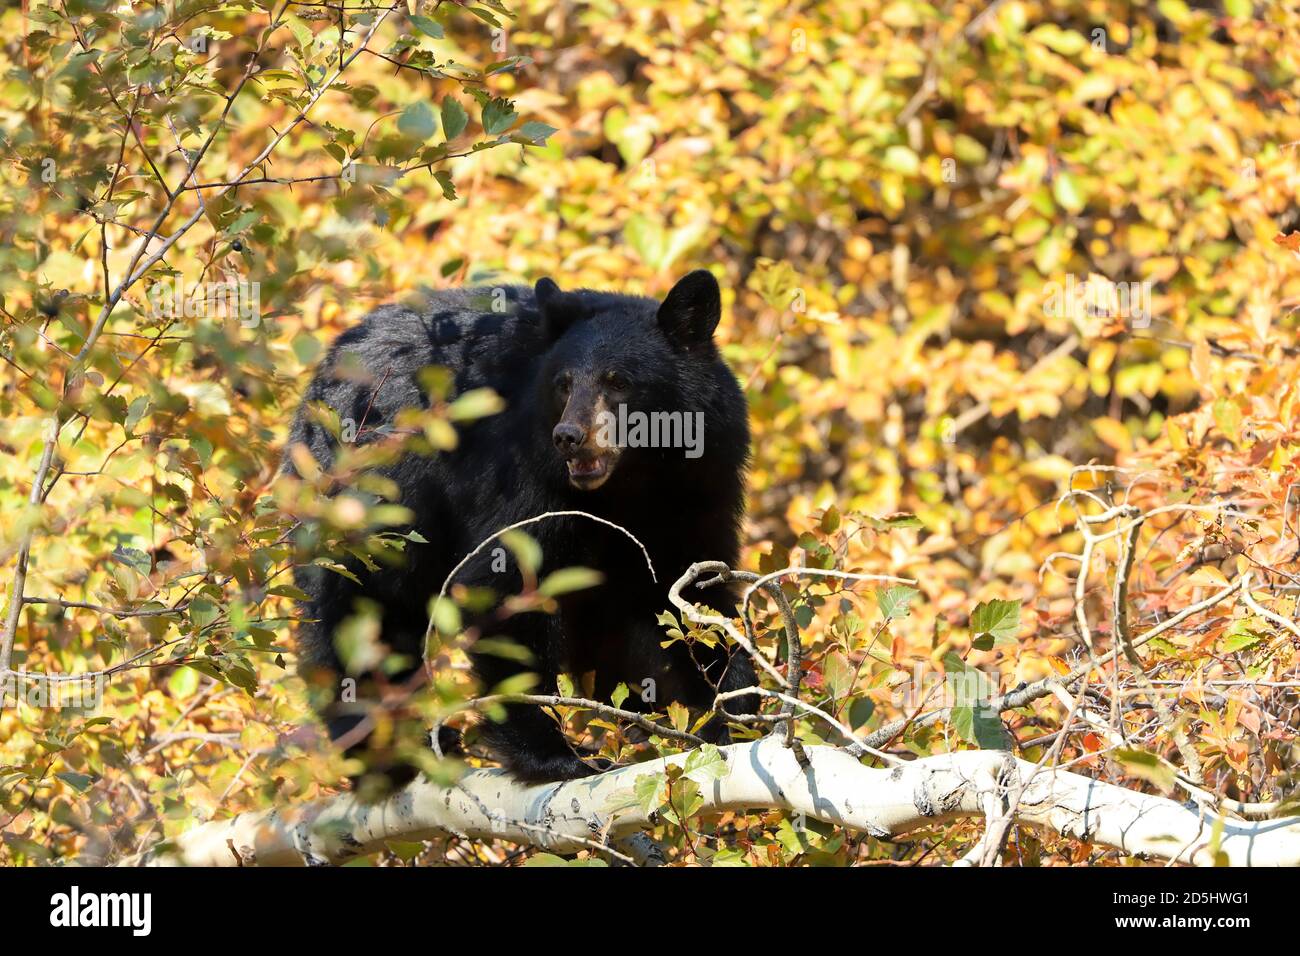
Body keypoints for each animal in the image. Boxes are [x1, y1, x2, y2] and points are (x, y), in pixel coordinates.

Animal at [284, 269, 758, 785]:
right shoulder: (521, 478)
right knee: (356, 614)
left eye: (619, 381)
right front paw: (556, 754)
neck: (636, 484)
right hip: (366, 498)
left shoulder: (700, 490)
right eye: (563, 384)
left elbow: (687, 600)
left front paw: (737, 710)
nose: (568, 437)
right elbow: (506, 588)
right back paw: (384, 752)